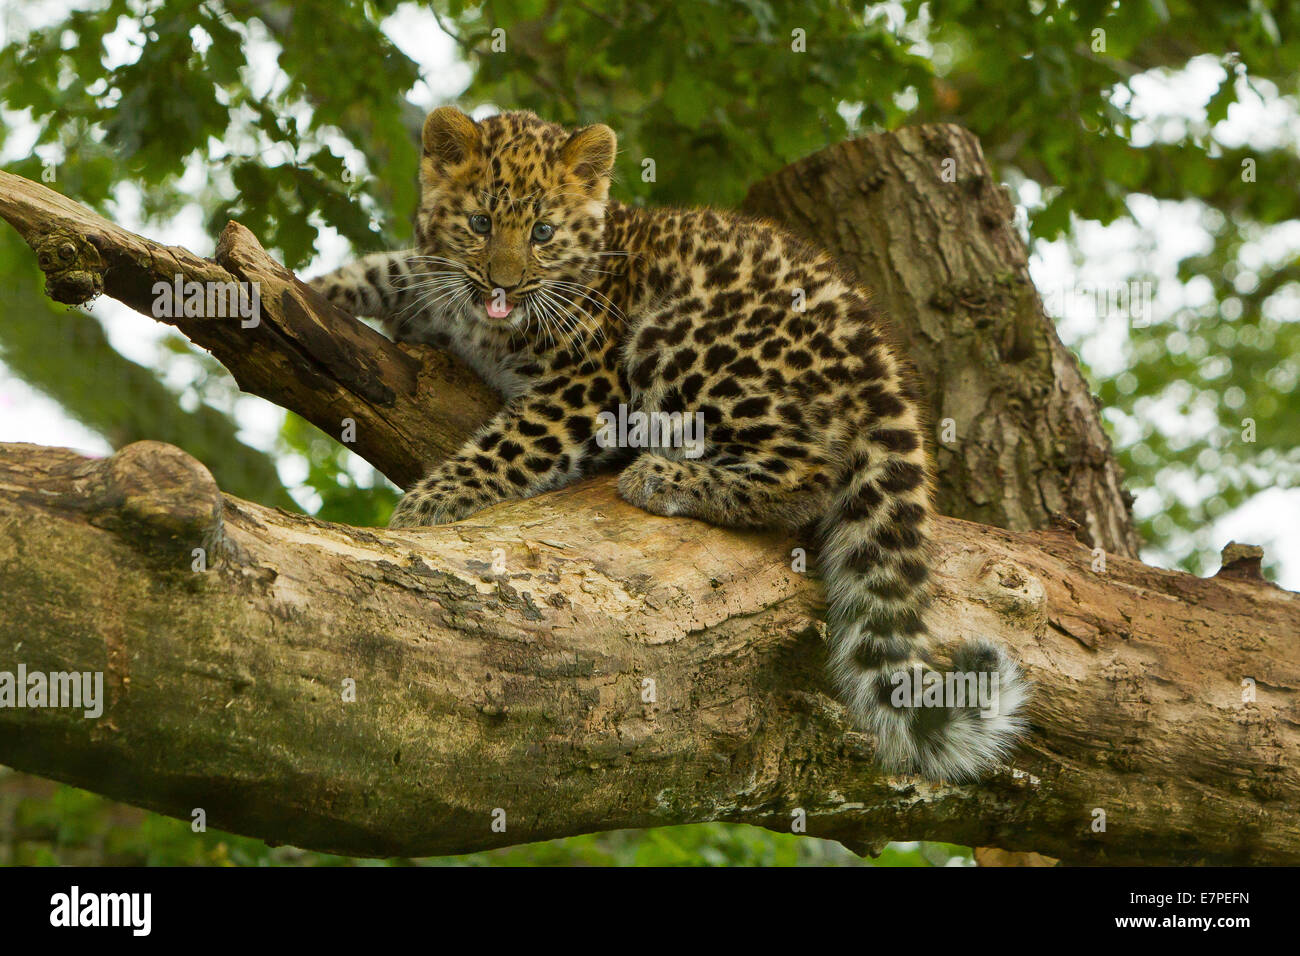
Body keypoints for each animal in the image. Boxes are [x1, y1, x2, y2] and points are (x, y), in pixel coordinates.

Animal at [309, 107, 1028, 781]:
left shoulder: (589, 384)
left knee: (809, 473)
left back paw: (664, 478)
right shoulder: (434, 279)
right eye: (481, 222)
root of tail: (879, 354)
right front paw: (302, 288)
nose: (503, 286)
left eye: (543, 233)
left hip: (675, 339)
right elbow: (392, 266)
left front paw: (428, 502)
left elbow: (514, 443)